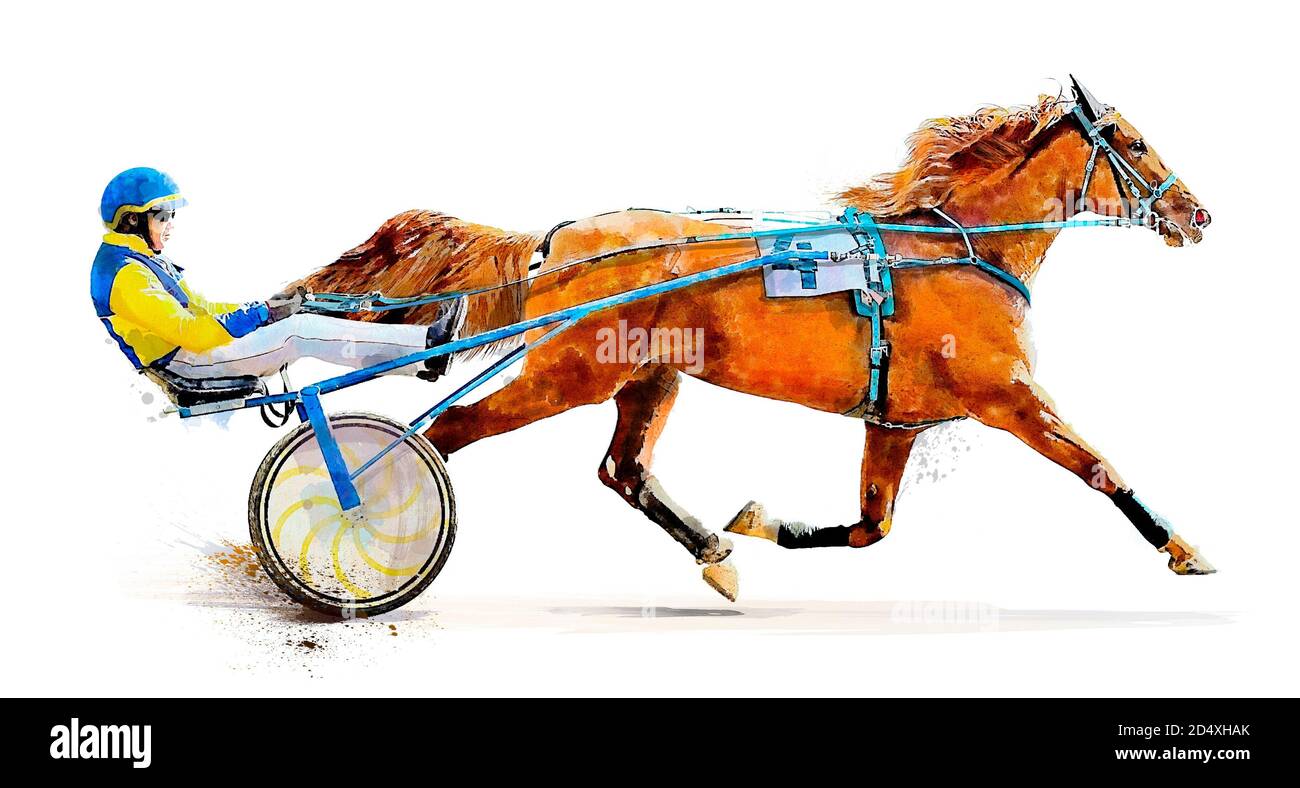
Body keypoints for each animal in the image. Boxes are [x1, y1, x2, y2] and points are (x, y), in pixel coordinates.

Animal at [293, 79, 1214, 601]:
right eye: (1132, 142)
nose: (1198, 213)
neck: (956, 246)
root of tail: (559, 240)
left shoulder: (895, 421)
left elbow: (871, 526)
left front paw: (761, 523)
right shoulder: (1010, 398)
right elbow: (1099, 466)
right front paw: (1185, 550)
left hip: (648, 380)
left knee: (623, 471)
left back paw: (714, 553)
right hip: (566, 373)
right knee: (439, 436)